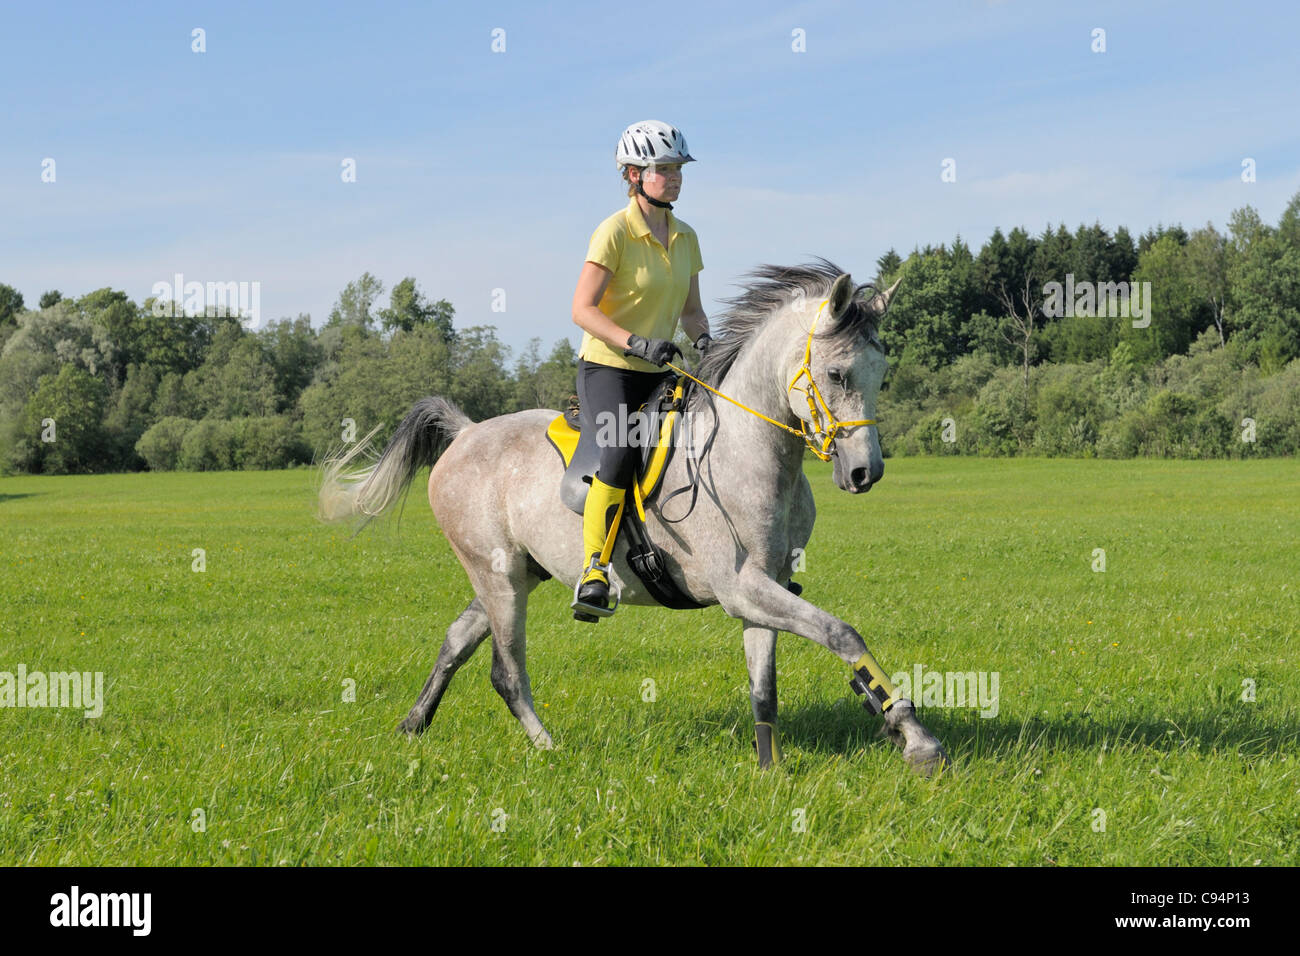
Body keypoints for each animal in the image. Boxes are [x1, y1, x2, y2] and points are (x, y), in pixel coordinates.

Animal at [318, 259, 950, 777]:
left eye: (881, 372)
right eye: (838, 374)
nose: (865, 472)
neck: (747, 452)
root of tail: (468, 431)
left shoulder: (766, 584)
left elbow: (764, 687)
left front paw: (771, 770)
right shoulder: (740, 587)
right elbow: (842, 633)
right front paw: (916, 739)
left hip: (518, 572)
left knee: (457, 639)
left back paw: (413, 724)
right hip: (497, 576)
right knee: (507, 671)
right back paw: (548, 748)